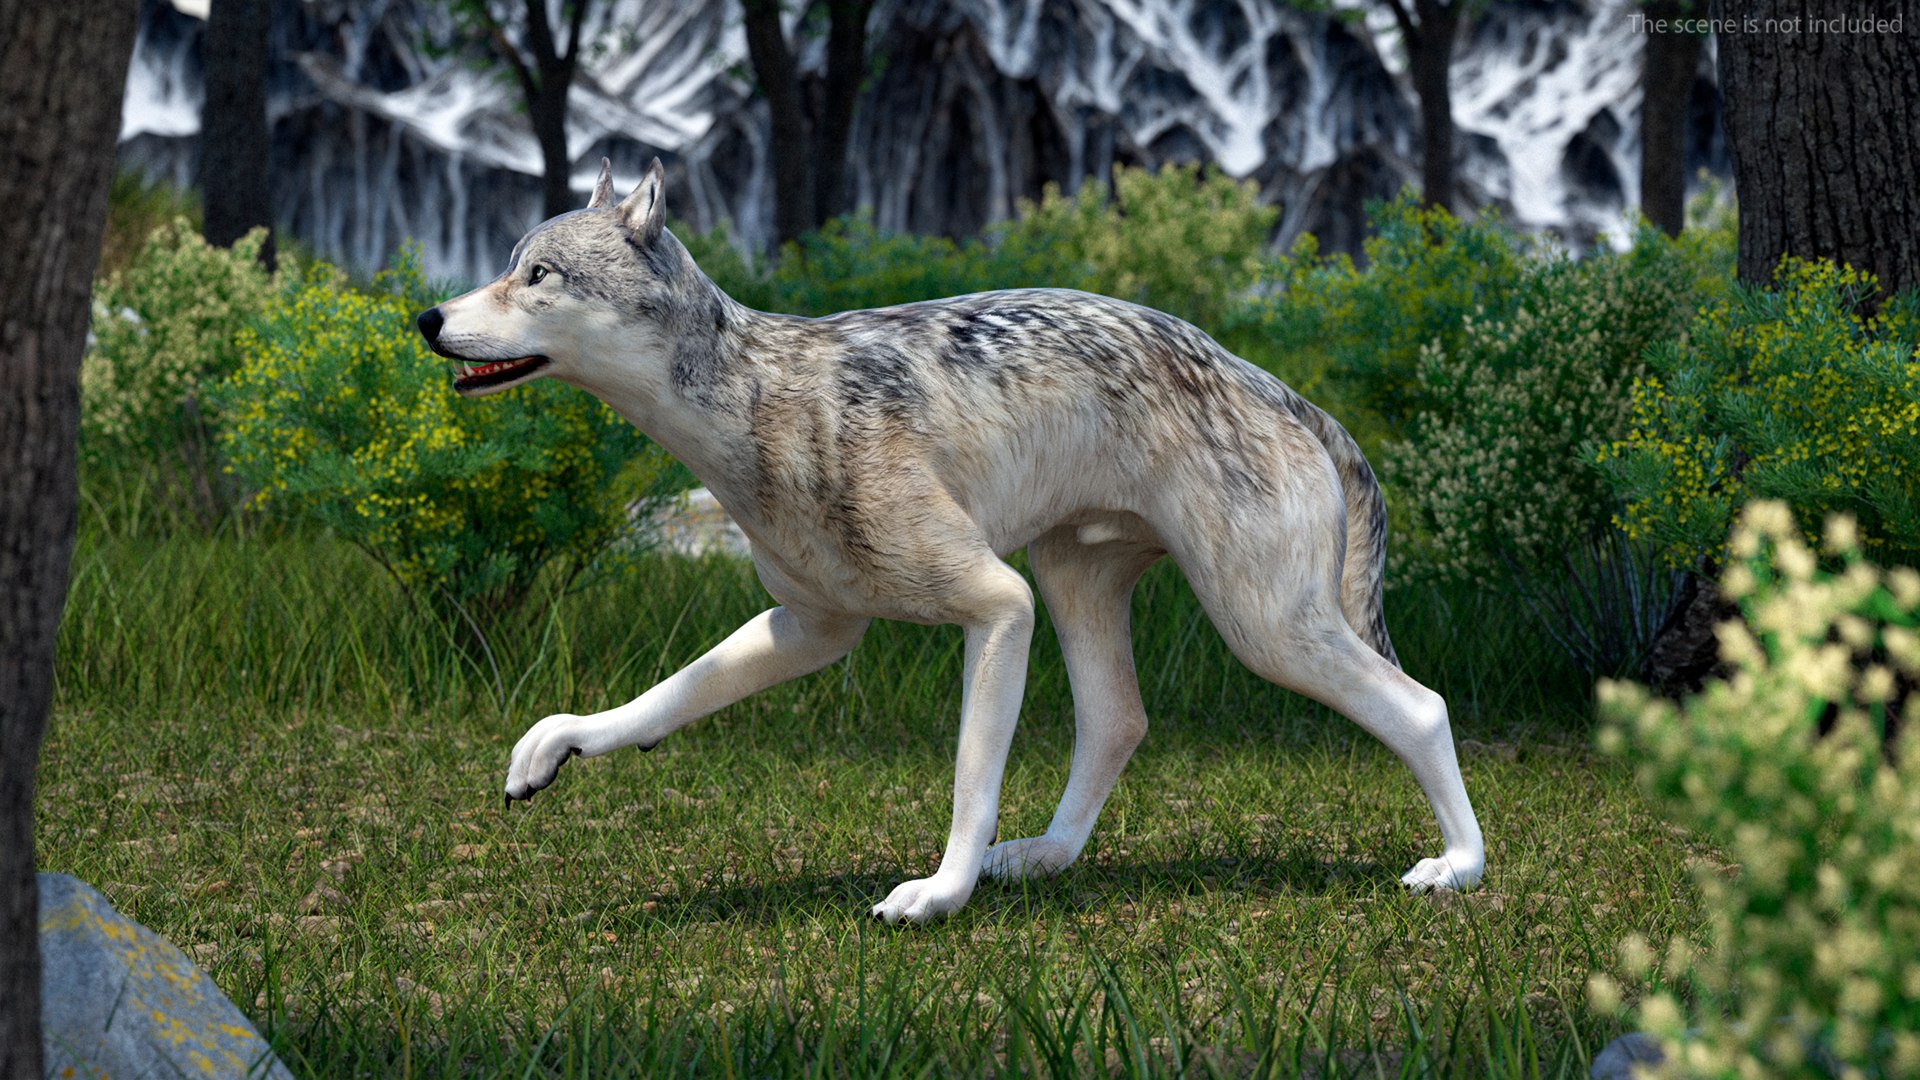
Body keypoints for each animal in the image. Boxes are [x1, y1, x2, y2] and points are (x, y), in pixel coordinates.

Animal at [415, 159, 1485, 923]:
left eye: (538, 275)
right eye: (508, 261)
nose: (428, 316)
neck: (754, 400)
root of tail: (1280, 389)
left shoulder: (996, 607)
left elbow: (973, 780)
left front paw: (939, 894)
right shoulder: (811, 626)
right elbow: (661, 702)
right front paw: (558, 747)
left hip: (1262, 626)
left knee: (1421, 706)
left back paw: (1459, 867)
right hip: (1082, 584)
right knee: (1119, 720)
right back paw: (1047, 857)